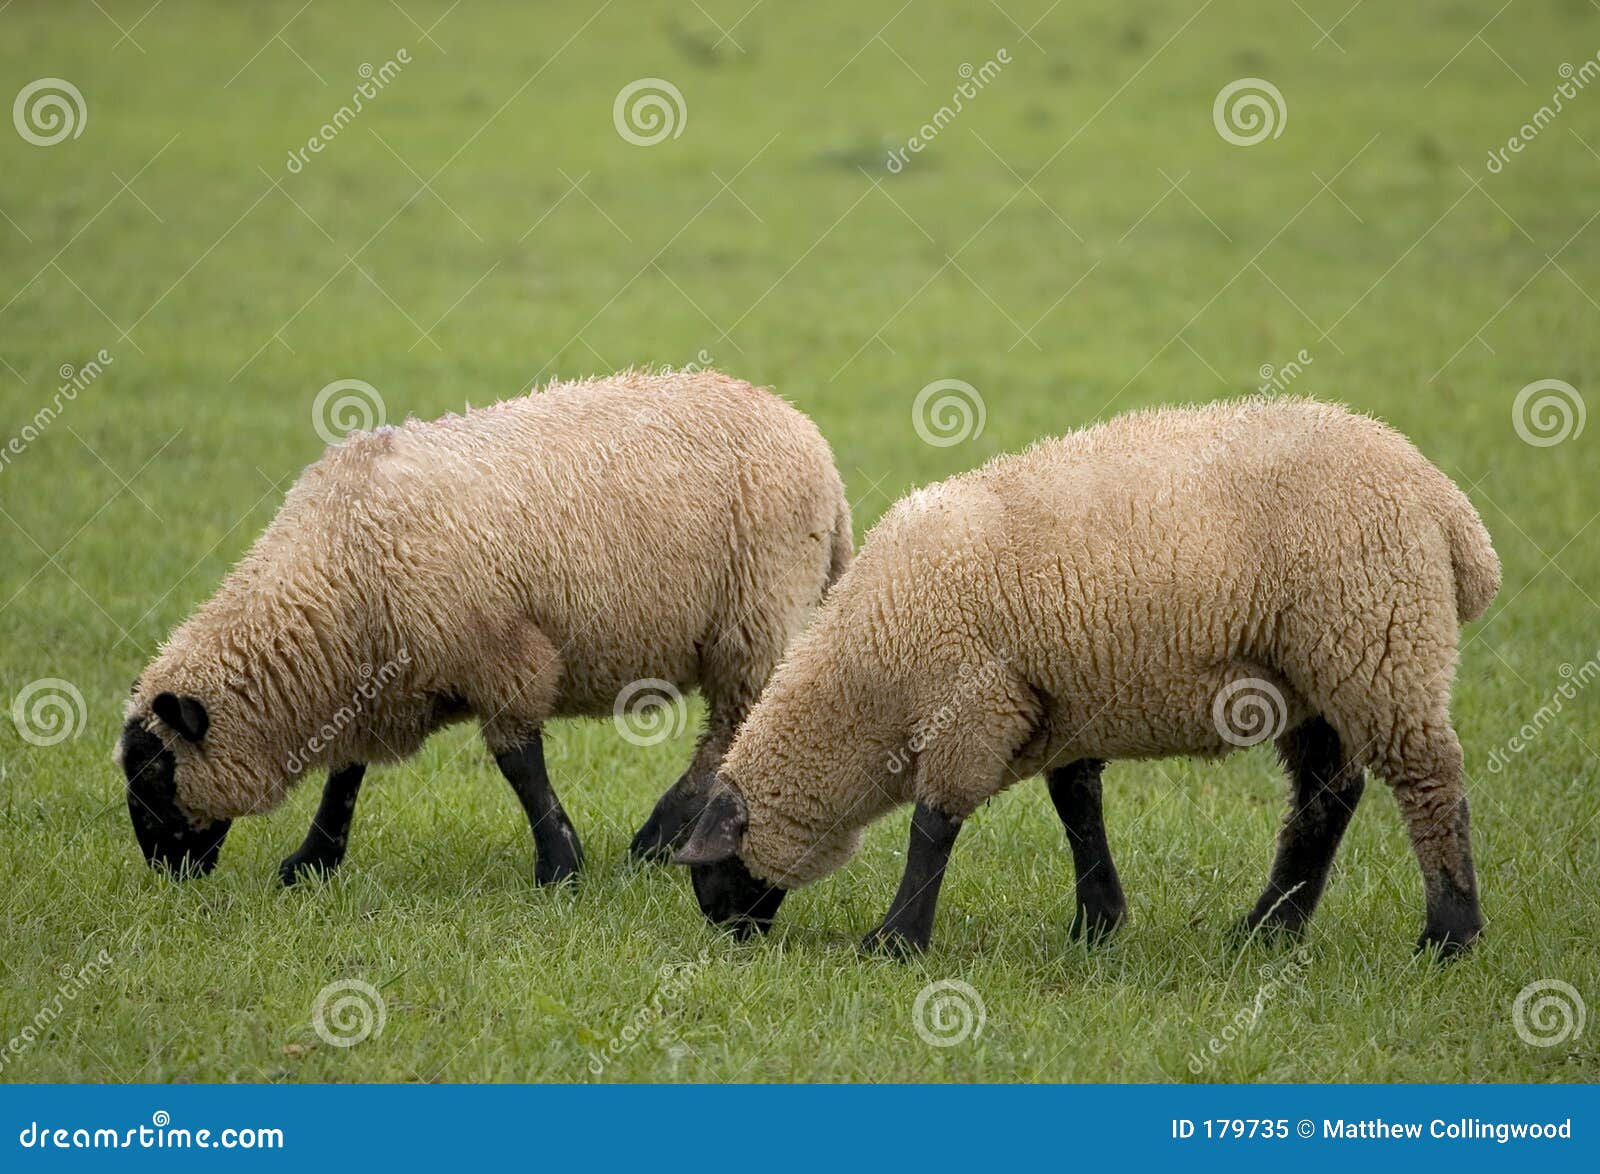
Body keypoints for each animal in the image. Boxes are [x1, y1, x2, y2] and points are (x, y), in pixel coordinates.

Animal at [116, 369, 852, 886]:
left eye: (155, 775)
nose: (167, 874)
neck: (339, 570)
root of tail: (809, 435)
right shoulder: (377, 680)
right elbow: (346, 776)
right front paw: (312, 862)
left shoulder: (501, 653)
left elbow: (519, 765)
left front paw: (559, 866)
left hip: (757, 611)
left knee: (730, 726)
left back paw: (658, 837)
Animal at [677, 397, 1500, 958]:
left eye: (707, 874)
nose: (725, 936)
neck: (866, 687)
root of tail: (1448, 510)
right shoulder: (1058, 705)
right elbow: (1078, 808)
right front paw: (1098, 923)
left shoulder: (969, 705)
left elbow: (933, 827)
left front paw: (896, 940)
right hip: (1317, 673)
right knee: (1329, 796)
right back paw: (1267, 927)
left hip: (1378, 640)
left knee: (1431, 781)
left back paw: (1448, 936)